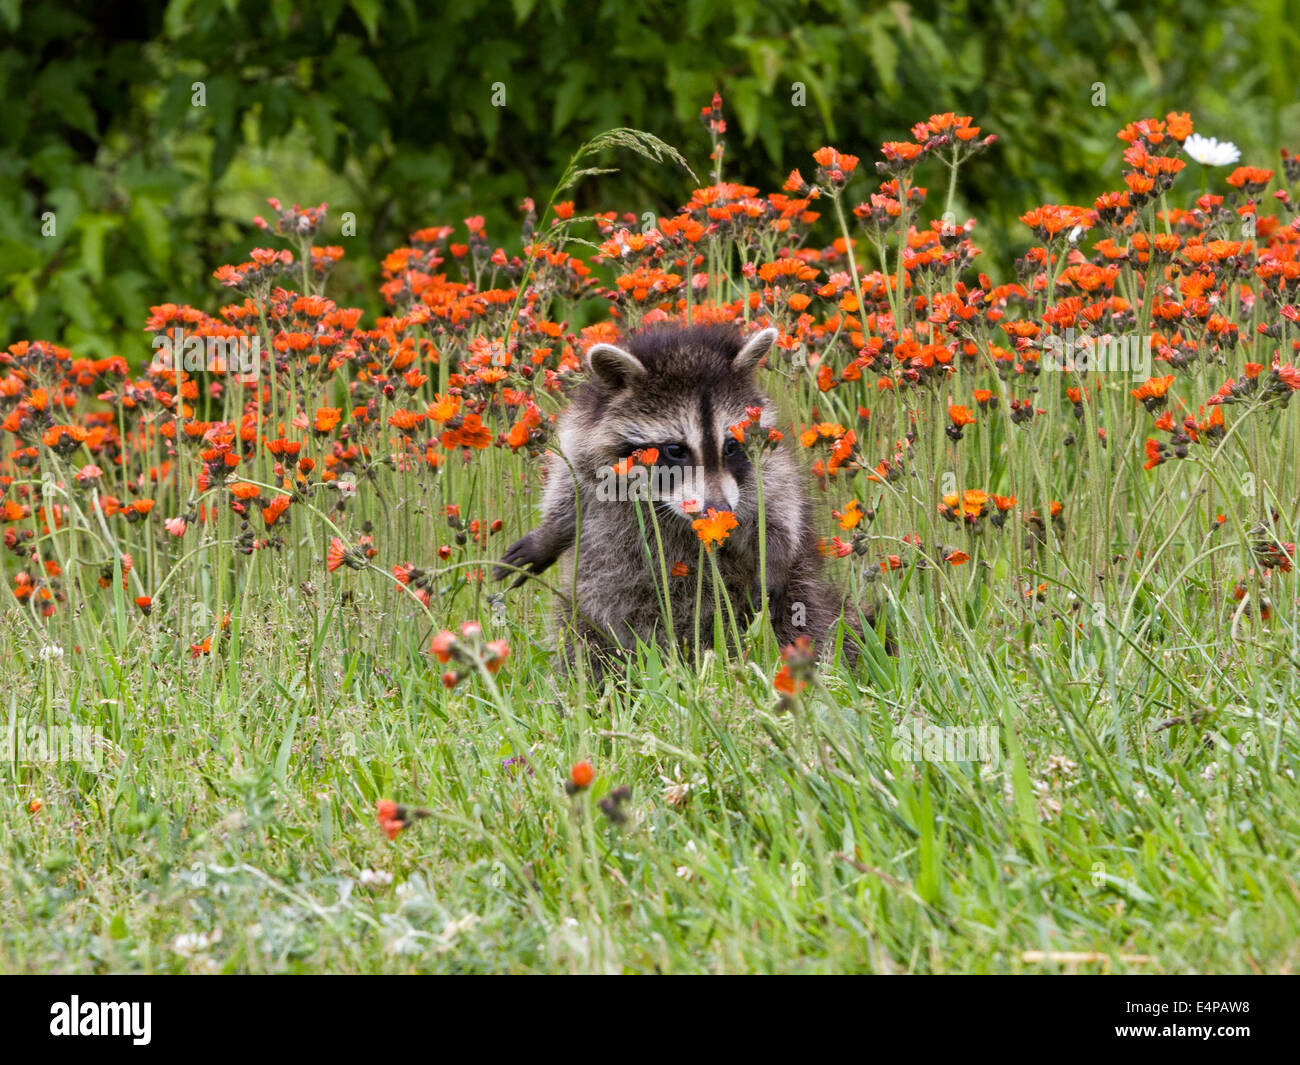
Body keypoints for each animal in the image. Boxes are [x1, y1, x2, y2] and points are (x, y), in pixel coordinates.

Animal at [493, 322, 875, 671]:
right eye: (676, 450)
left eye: (731, 445)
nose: (717, 509)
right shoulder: (583, 443)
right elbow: (569, 488)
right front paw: (549, 534)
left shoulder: (764, 463)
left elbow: (779, 504)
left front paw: (772, 555)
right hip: (587, 608)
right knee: (581, 641)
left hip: (796, 595)